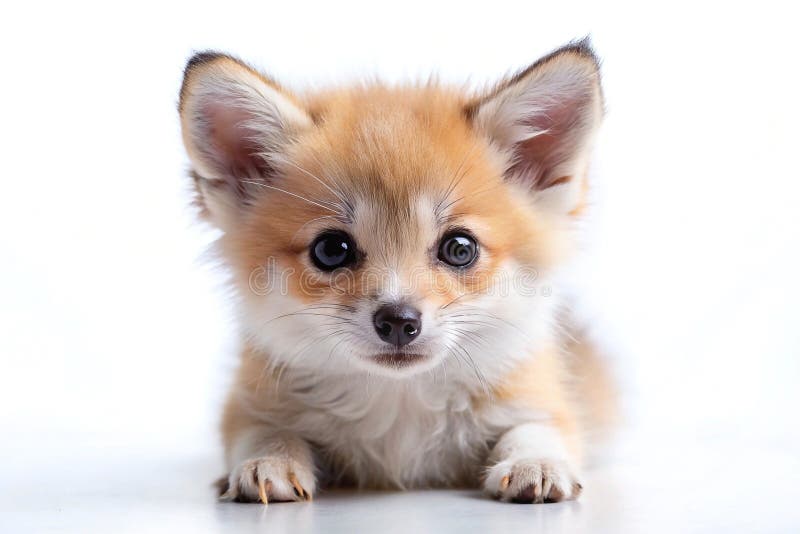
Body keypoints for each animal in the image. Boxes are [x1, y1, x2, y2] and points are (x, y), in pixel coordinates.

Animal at [178, 38, 615, 505]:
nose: (399, 321)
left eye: (460, 248)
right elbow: (265, 431)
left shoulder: (540, 398)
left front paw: (536, 463)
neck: (400, 403)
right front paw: (270, 460)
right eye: (331, 250)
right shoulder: (248, 405)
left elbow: (536, 429)